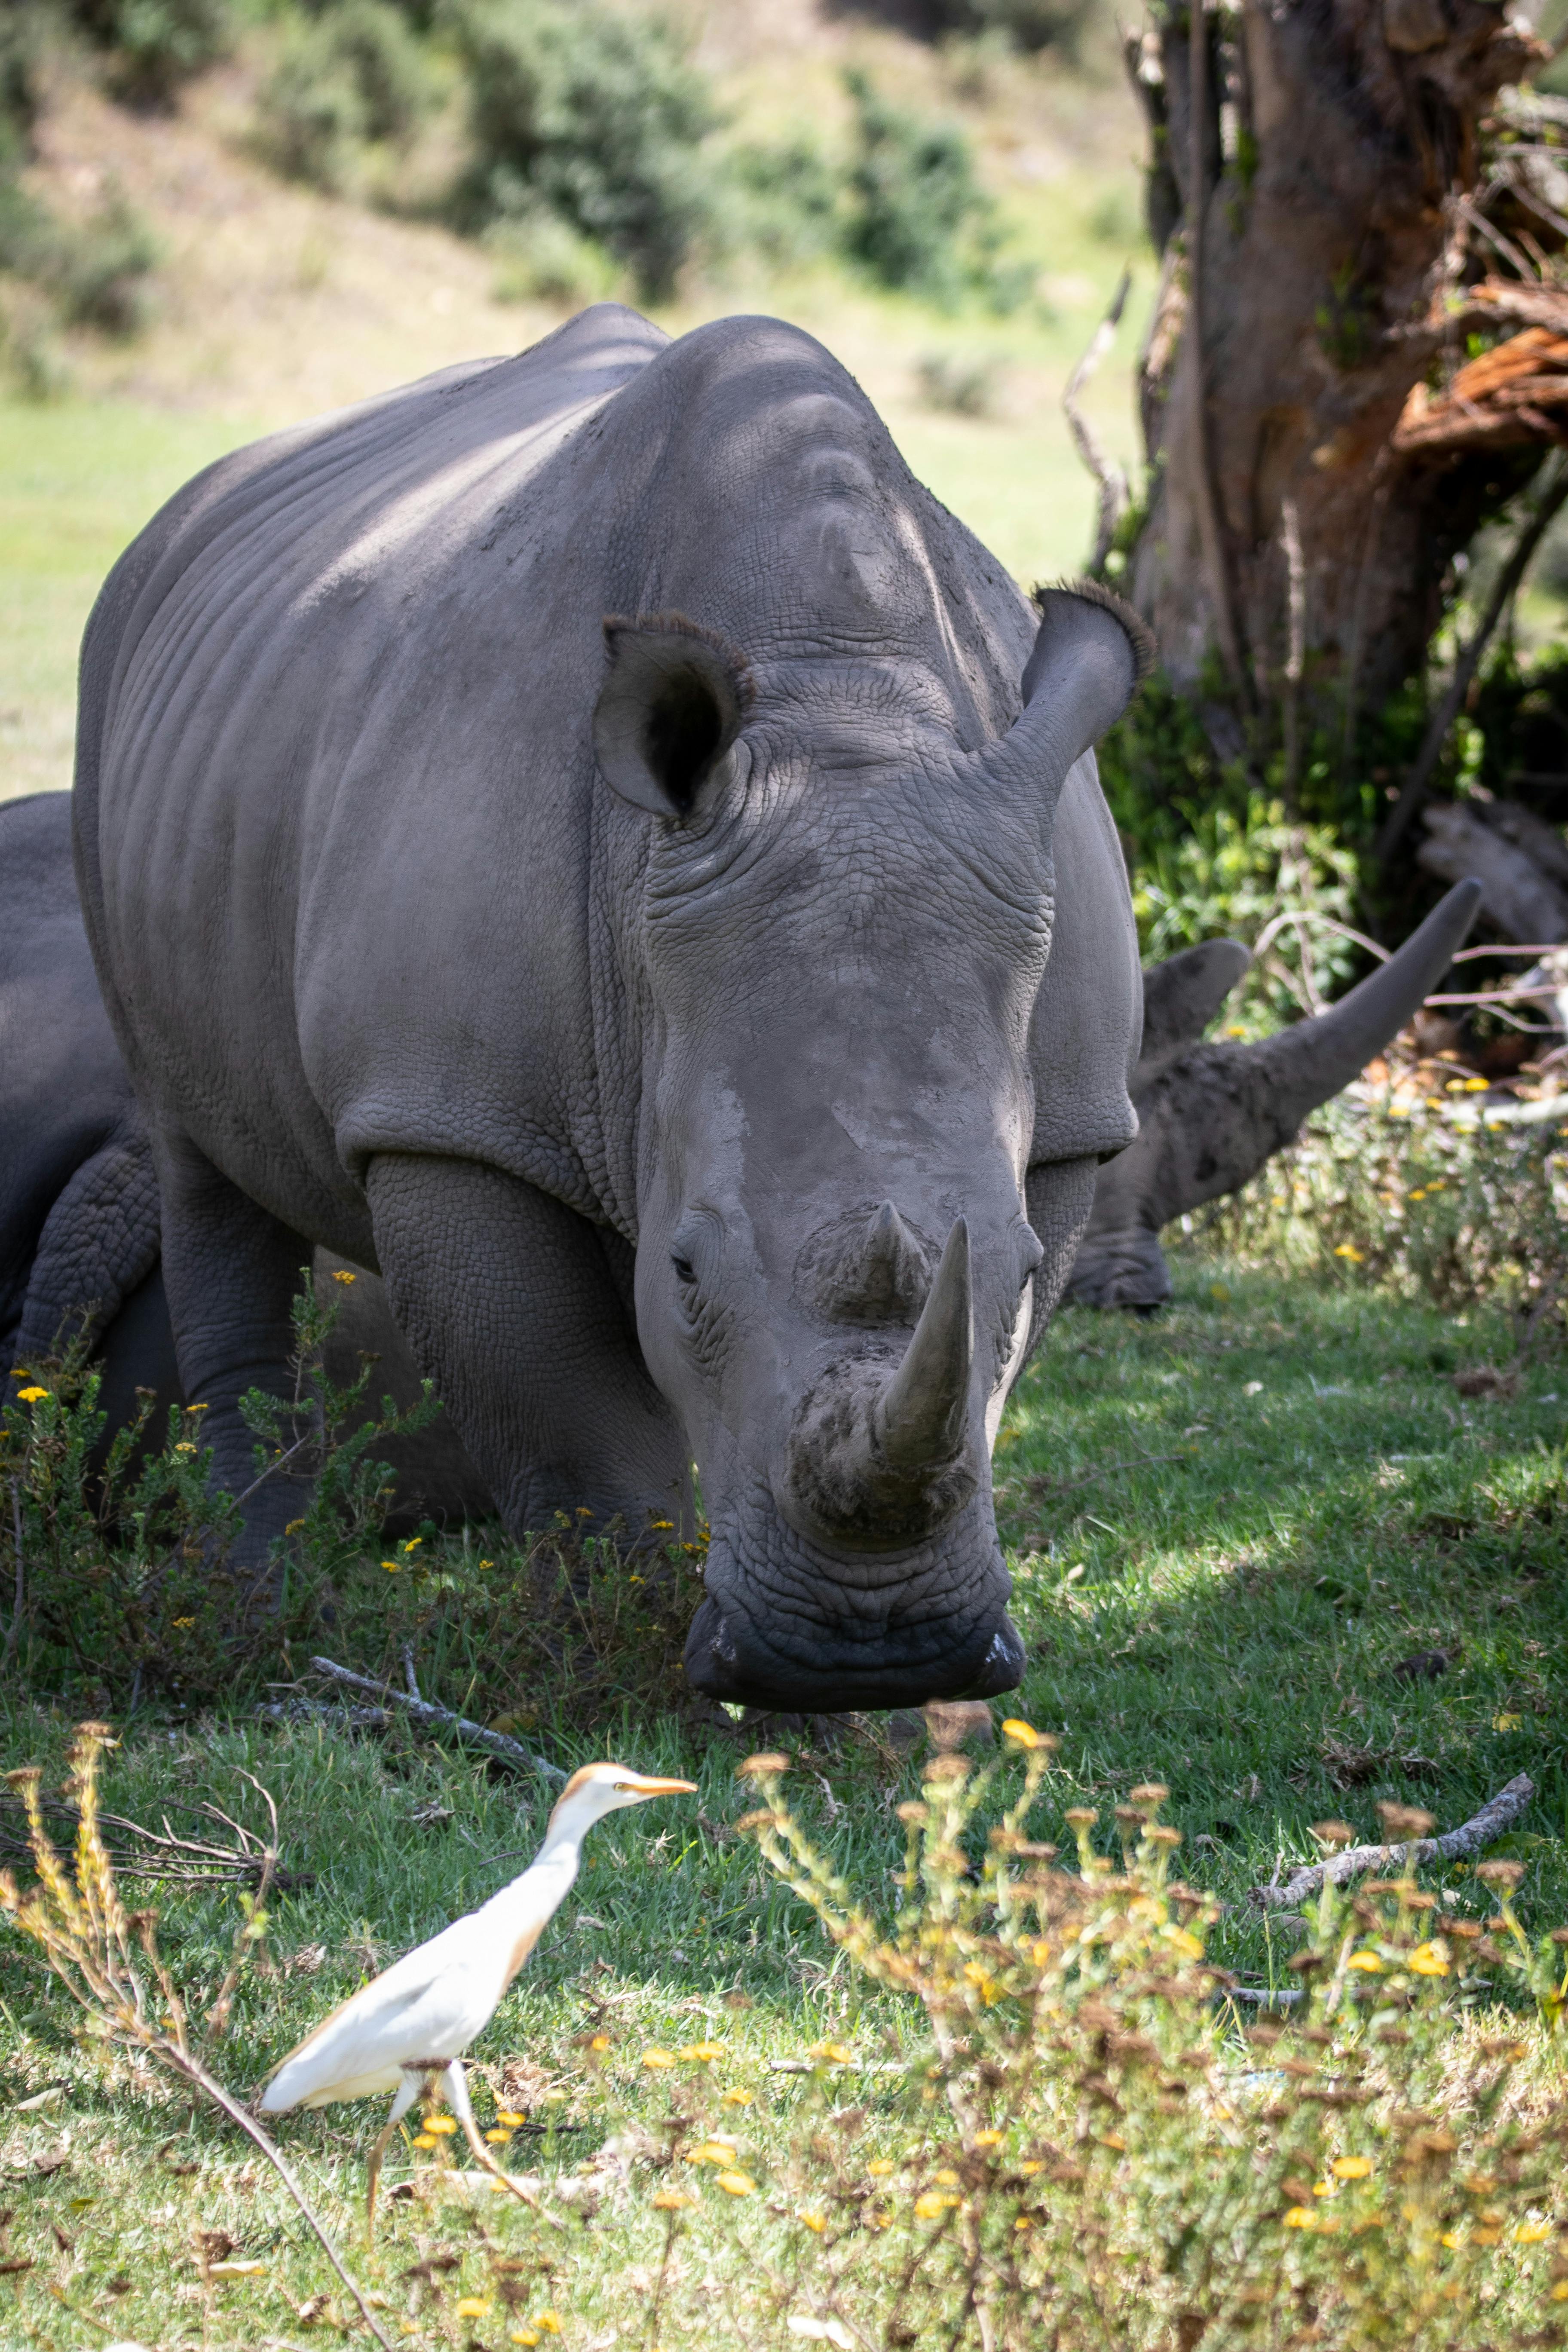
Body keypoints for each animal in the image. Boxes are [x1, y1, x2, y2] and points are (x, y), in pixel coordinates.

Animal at [74, 303, 1153, 1712]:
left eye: (1024, 1267)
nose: (869, 1654)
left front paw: (904, 1721)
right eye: (683, 1267)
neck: (841, 712)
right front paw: (631, 1667)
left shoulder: (1072, 1107)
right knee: (195, 1150)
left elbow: (985, 1356)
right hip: (120, 695)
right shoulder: (453, 1116)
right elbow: (569, 1421)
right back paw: (256, 1613)